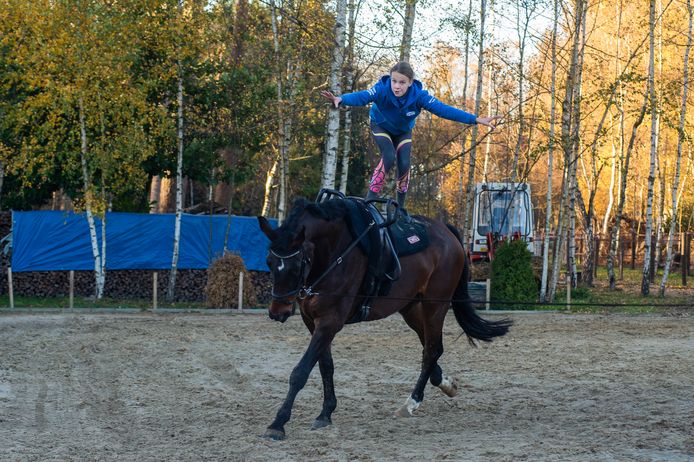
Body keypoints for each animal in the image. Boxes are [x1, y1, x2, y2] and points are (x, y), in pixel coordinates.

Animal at [257, 194, 512, 441]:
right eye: (269, 261)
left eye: (296, 265)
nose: (277, 312)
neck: (334, 252)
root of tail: (447, 232)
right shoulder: (312, 321)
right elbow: (325, 366)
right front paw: (326, 412)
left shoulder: (330, 322)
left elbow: (301, 372)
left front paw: (277, 424)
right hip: (411, 309)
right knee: (433, 348)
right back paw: (444, 383)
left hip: (434, 305)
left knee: (431, 351)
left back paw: (411, 403)